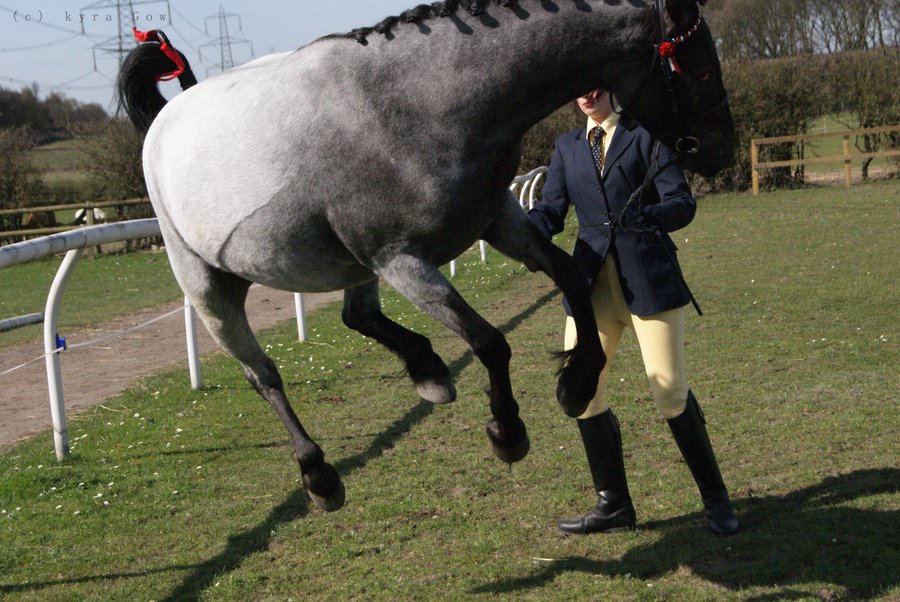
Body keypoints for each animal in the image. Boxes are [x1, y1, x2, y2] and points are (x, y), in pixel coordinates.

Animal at [118, 0, 734, 512]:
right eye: (701, 71)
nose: (720, 152)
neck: (417, 105)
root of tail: (162, 124)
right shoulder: (403, 262)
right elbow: (489, 341)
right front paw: (508, 433)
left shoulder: (496, 219)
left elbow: (570, 277)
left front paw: (577, 383)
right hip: (211, 289)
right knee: (264, 376)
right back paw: (319, 476)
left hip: (353, 267)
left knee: (357, 315)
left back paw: (429, 371)